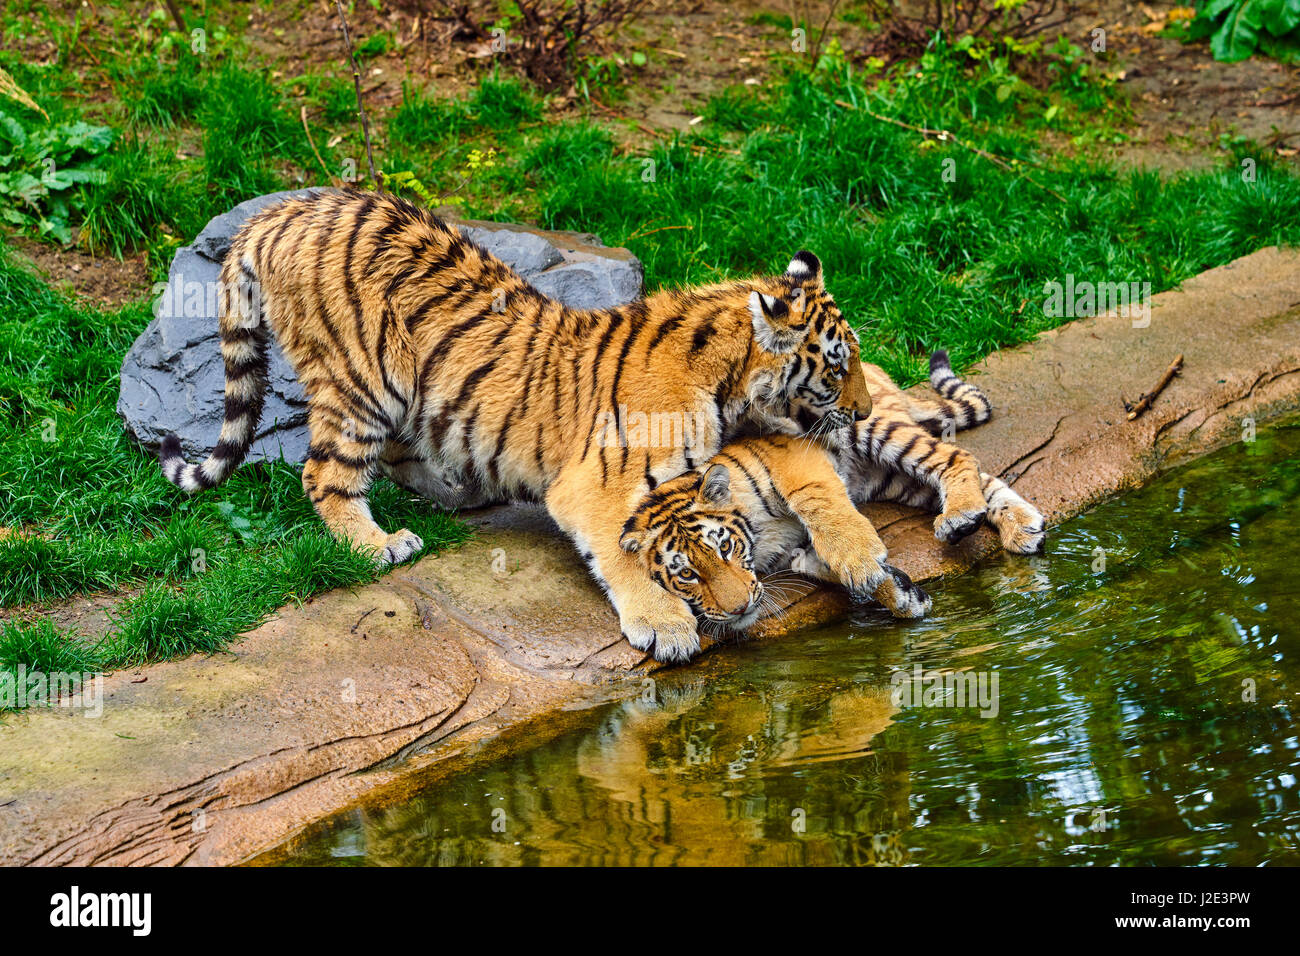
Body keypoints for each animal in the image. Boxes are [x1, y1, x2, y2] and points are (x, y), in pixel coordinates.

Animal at [156, 188, 872, 662]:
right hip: (363, 382)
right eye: (837, 367)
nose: (864, 410)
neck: (723, 381)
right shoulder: (595, 485)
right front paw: (666, 625)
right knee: (325, 471)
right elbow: (626, 552)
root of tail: (284, 209)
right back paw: (376, 544)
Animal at [621, 351, 1046, 640]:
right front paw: (904, 596)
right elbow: (832, 567)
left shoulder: (797, 456)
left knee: (957, 455)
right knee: (980, 478)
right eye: (687, 575)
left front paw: (863, 567)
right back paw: (1020, 527)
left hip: (867, 424)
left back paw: (962, 515)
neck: (760, 544)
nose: (739, 608)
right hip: (891, 478)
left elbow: (821, 508)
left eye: (724, 548)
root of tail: (874, 365)